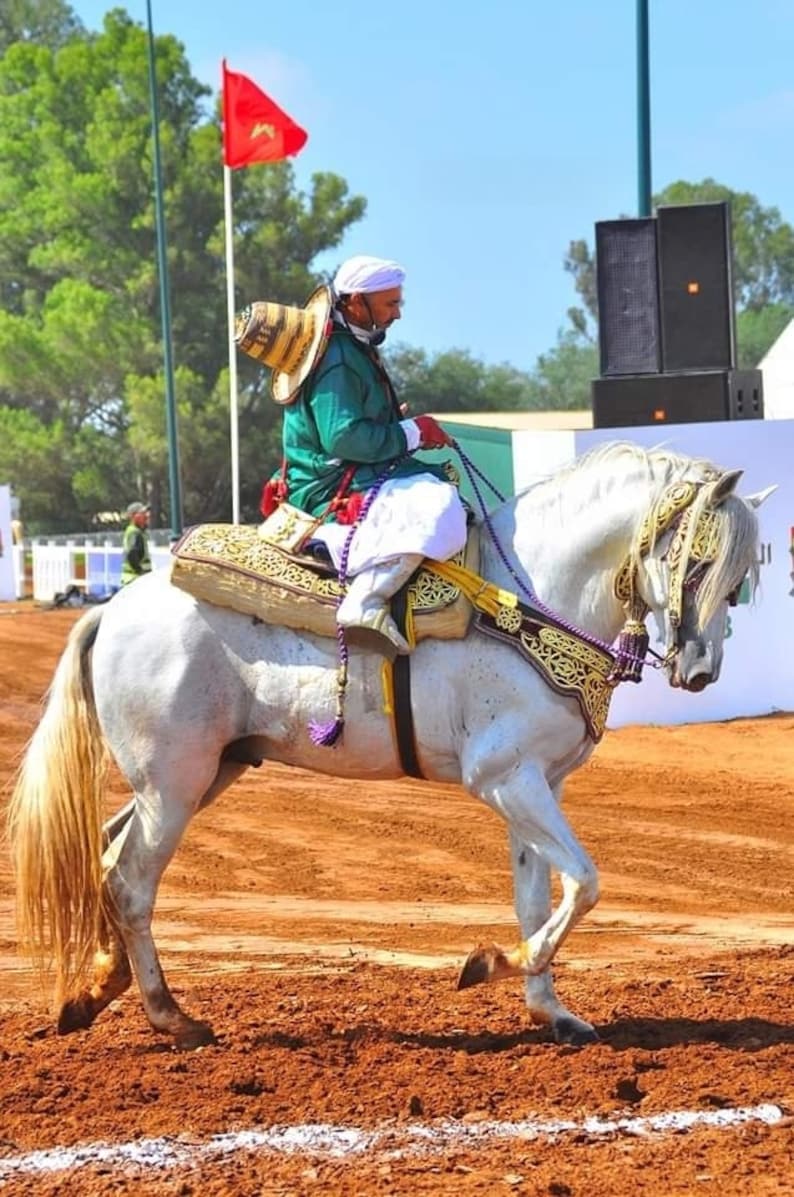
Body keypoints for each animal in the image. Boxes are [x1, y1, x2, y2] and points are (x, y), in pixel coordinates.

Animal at [8, 443, 770, 1051]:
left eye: (739, 582)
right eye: (698, 564)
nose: (701, 672)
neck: (529, 601)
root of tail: (110, 609)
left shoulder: (533, 785)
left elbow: (535, 897)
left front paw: (549, 1009)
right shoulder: (504, 779)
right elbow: (585, 882)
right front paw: (489, 964)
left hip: (197, 776)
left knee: (107, 856)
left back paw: (93, 993)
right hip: (174, 785)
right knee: (130, 881)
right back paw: (173, 1017)